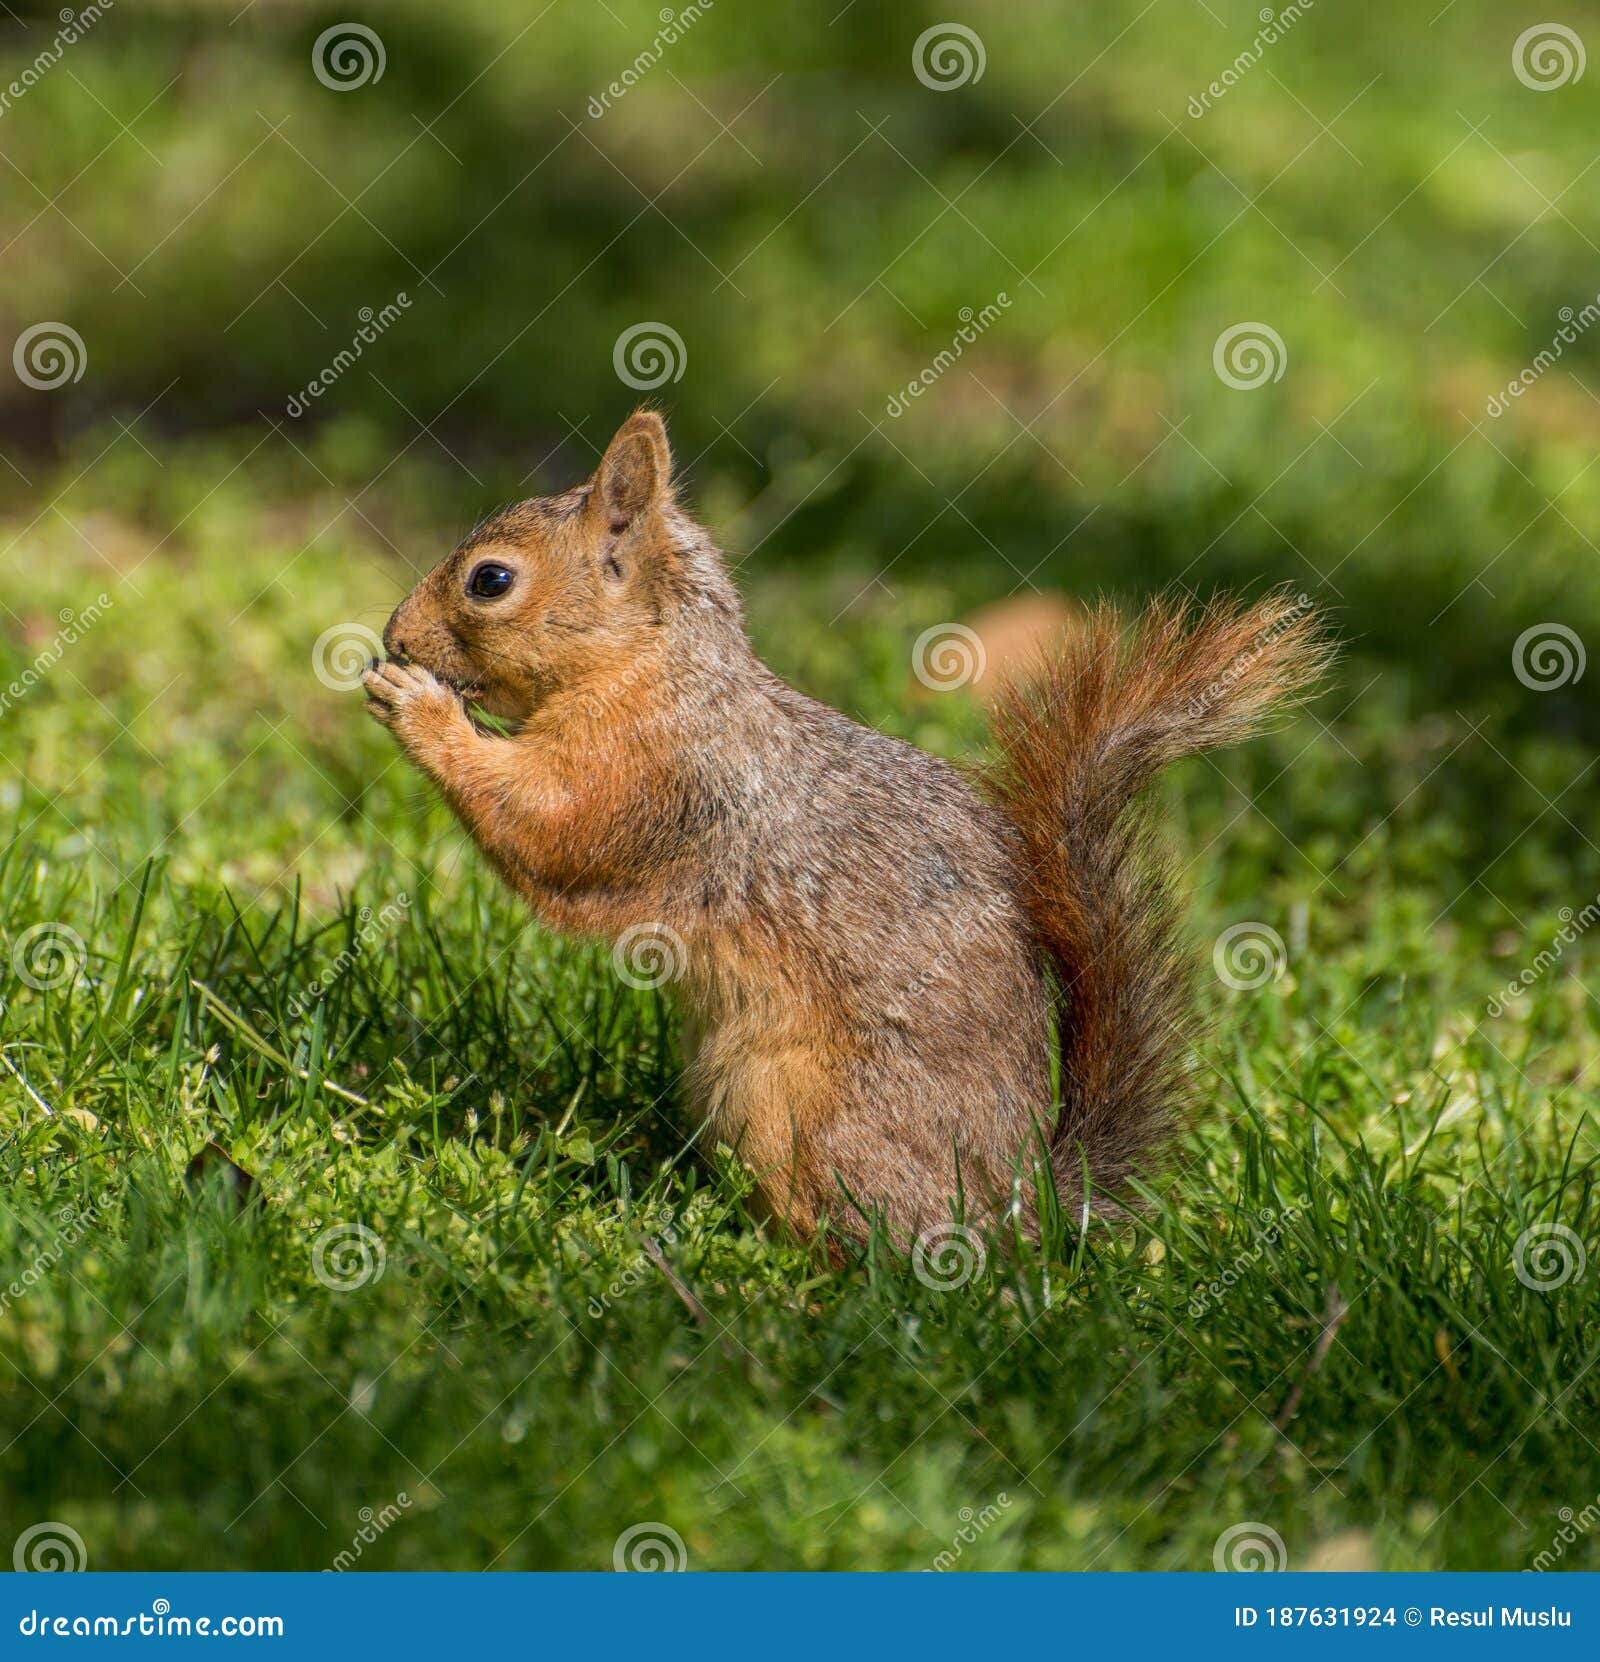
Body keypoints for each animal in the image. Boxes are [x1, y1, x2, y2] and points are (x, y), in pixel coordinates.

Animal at [364, 409, 1329, 1246]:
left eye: (491, 580)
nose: (393, 634)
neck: (652, 668)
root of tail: (1019, 1207)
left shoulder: (658, 779)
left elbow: (548, 828)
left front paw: (416, 707)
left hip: (806, 1114)